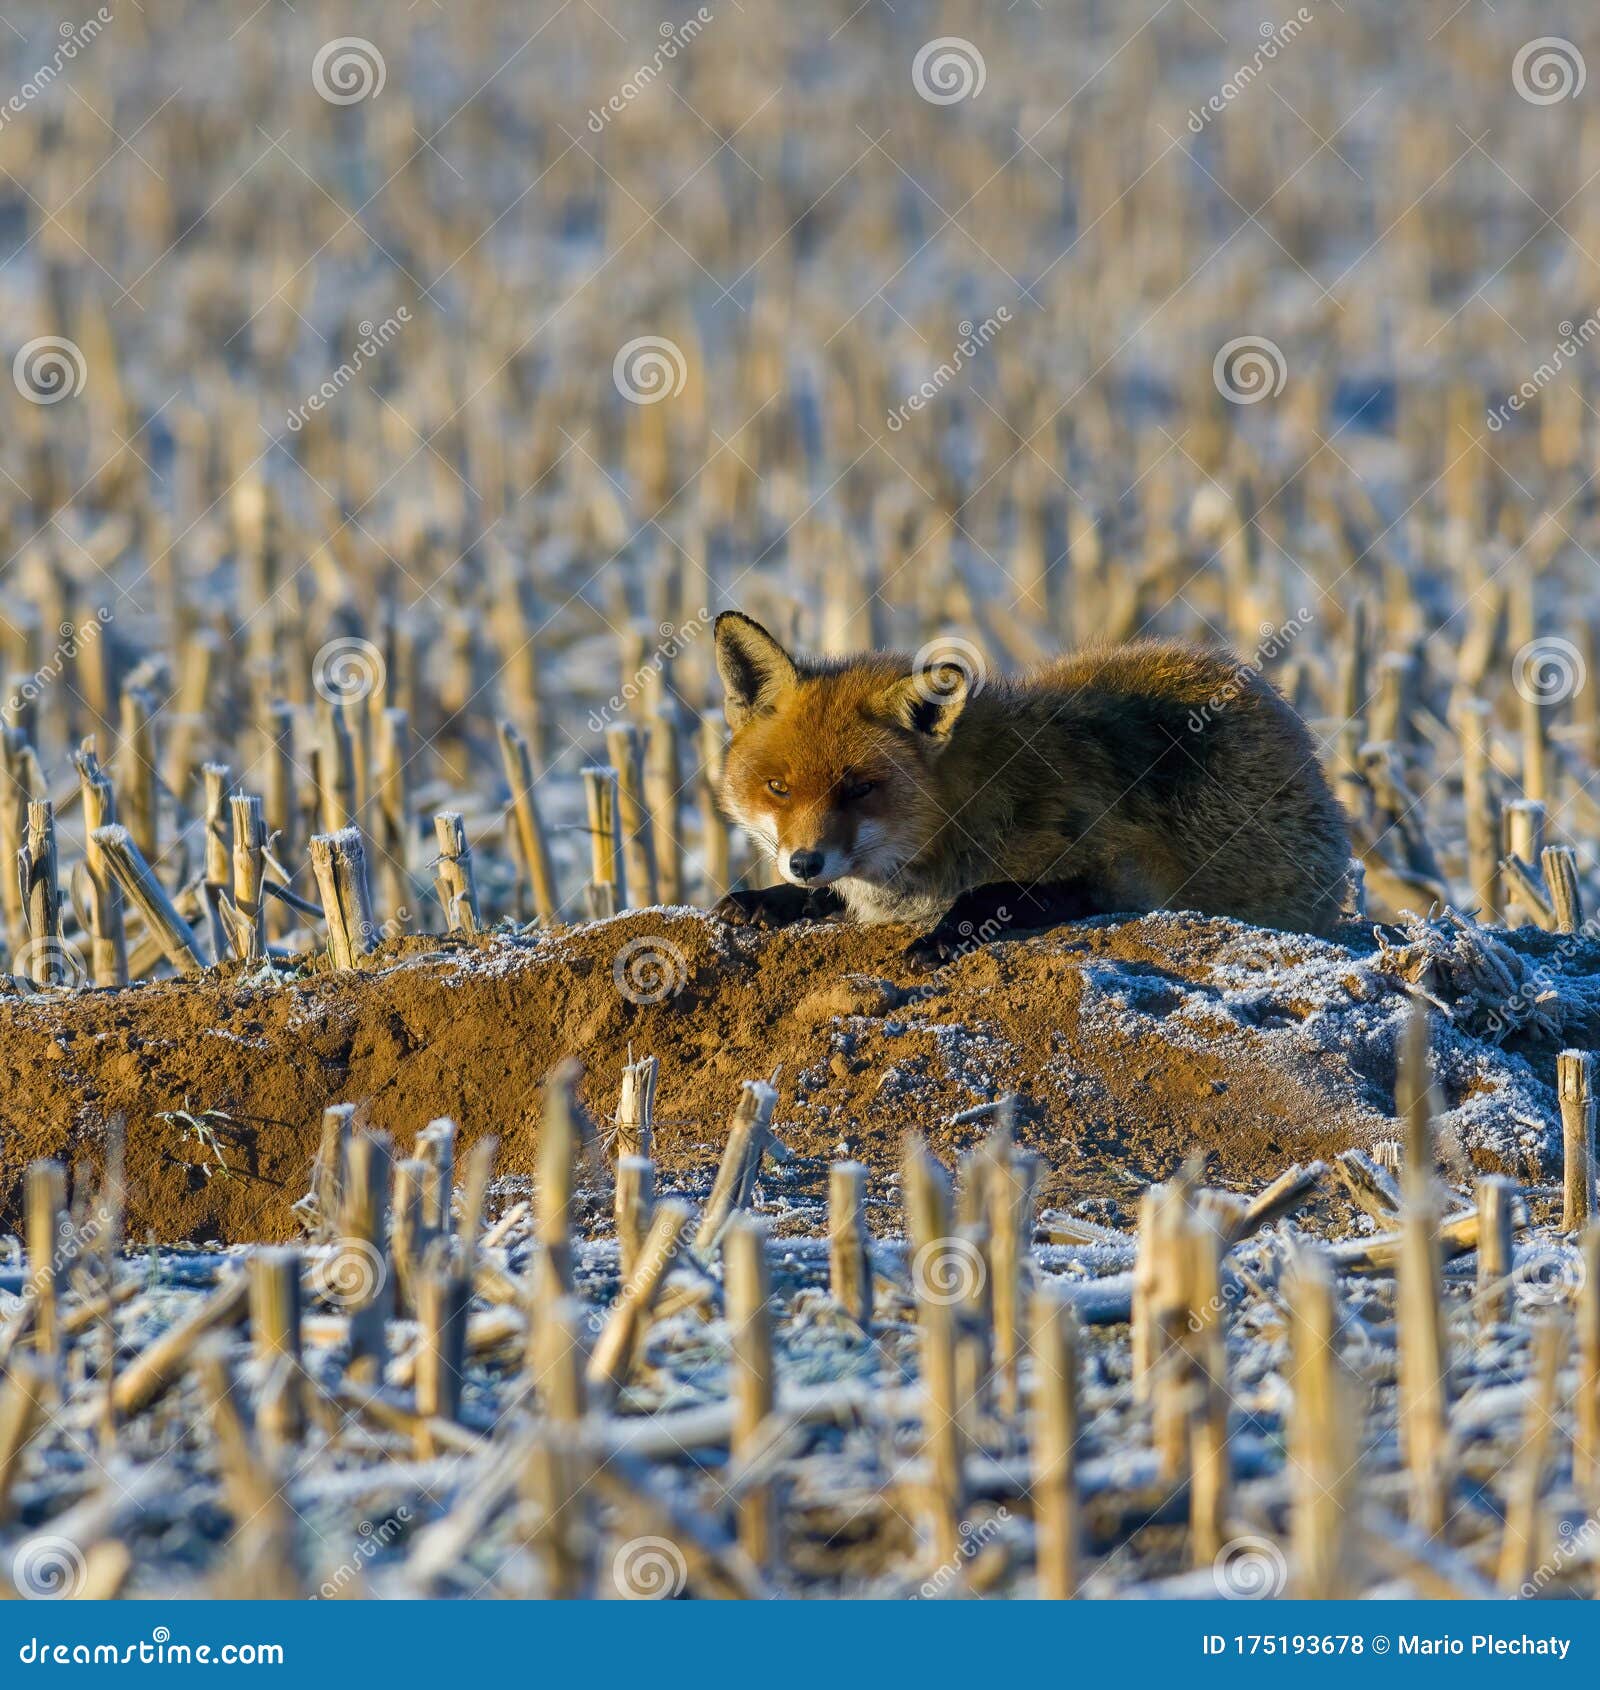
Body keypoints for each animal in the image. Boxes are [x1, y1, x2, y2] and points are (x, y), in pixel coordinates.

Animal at [711, 610, 1351, 966]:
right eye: (777, 788)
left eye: (860, 789)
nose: (804, 861)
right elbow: (827, 897)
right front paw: (770, 898)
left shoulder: (1124, 871)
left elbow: (992, 895)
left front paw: (945, 937)